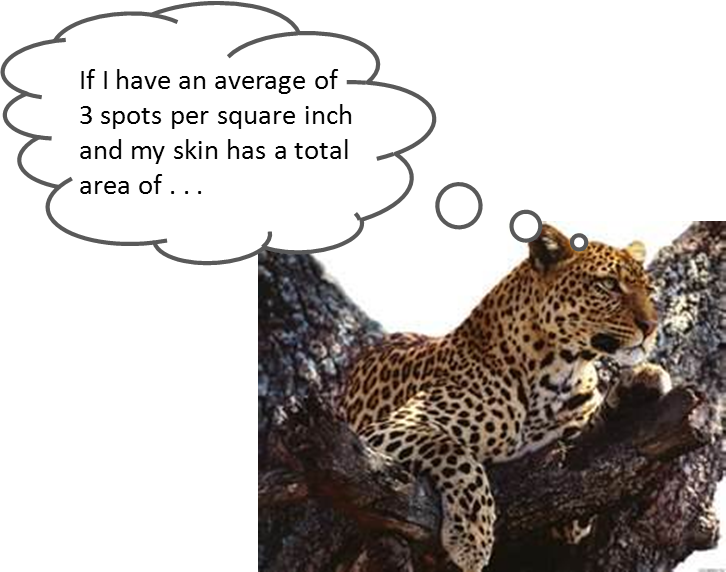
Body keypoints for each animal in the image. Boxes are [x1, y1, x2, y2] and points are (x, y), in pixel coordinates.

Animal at [342, 224, 671, 572]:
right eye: (608, 285)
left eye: (649, 291)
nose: (651, 326)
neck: (558, 372)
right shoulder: (384, 431)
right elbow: (455, 453)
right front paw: (472, 537)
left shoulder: (567, 497)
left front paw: (637, 389)